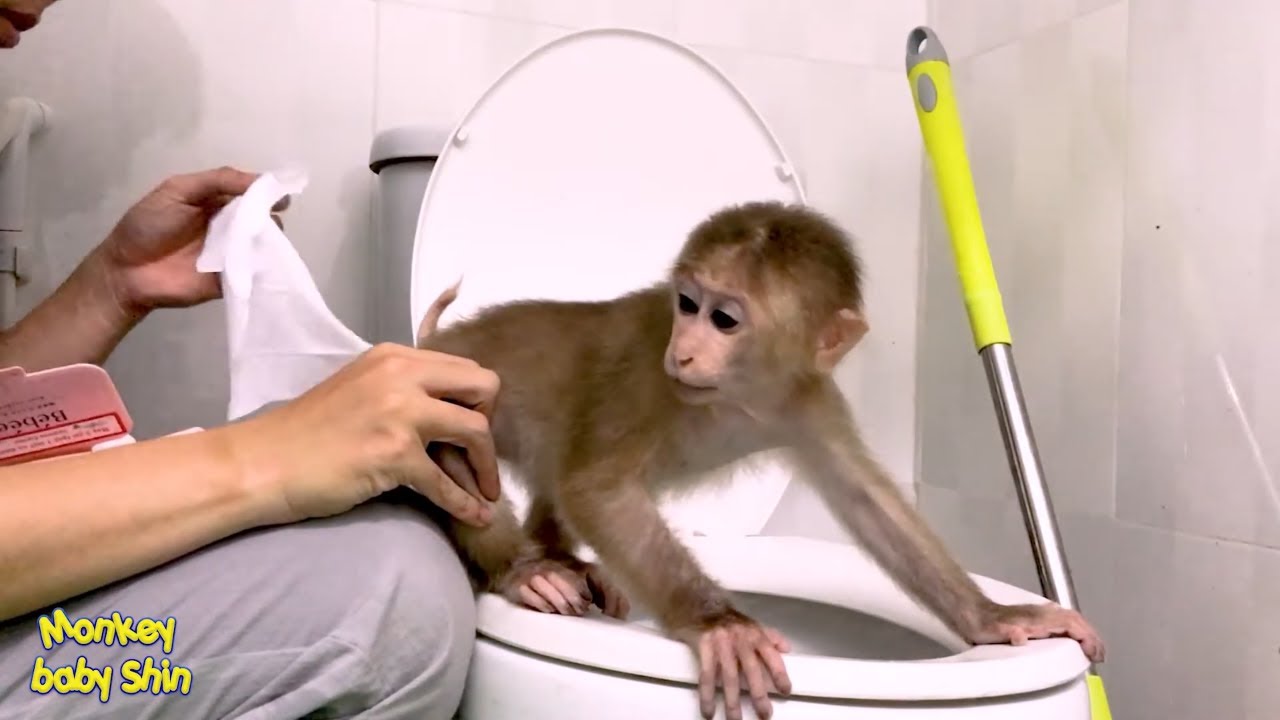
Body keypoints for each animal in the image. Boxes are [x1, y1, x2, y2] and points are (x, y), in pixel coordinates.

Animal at [416, 201, 1105, 720]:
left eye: (724, 319)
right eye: (686, 305)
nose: (686, 352)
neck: (737, 396)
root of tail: (441, 340)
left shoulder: (809, 398)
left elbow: (866, 500)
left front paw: (993, 617)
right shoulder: (646, 367)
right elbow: (597, 486)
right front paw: (719, 624)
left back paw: (559, 555)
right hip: (442, 390)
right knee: (456, 447)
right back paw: (525, 569)